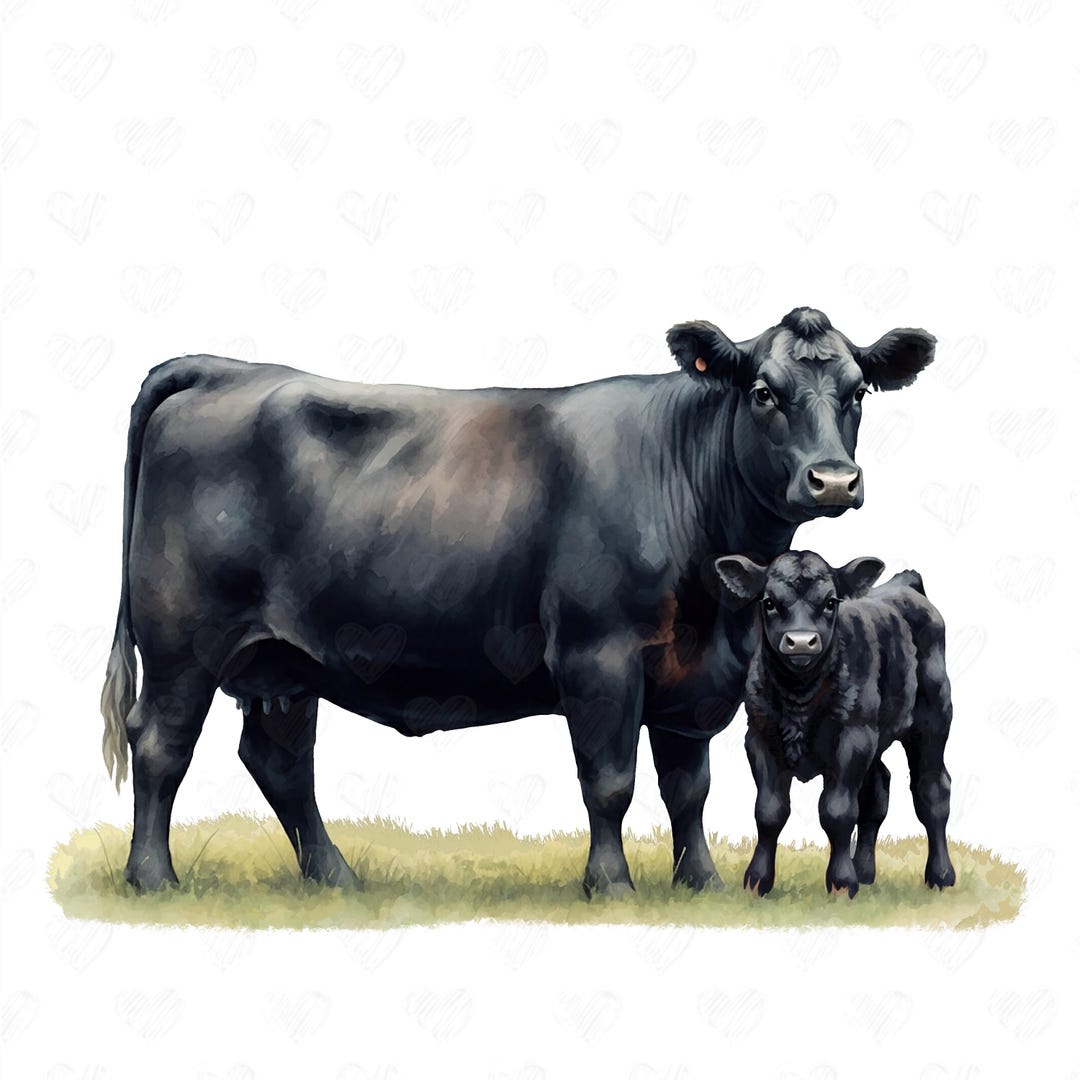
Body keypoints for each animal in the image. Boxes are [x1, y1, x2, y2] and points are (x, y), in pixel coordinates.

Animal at [713, 550, 956, 898]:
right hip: (876, 737)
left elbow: (837, 810)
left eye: (830, 602)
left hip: (932, 718)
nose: (801, 642)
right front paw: (757, 881)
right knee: (877, 789)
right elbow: (769, 811)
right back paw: (865, 871)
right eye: (769, 602)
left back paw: (940, 876)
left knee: (932, 789)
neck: (800, 697)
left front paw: (841, 883)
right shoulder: (759, 737)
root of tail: (903, 584)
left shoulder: (853, 738)